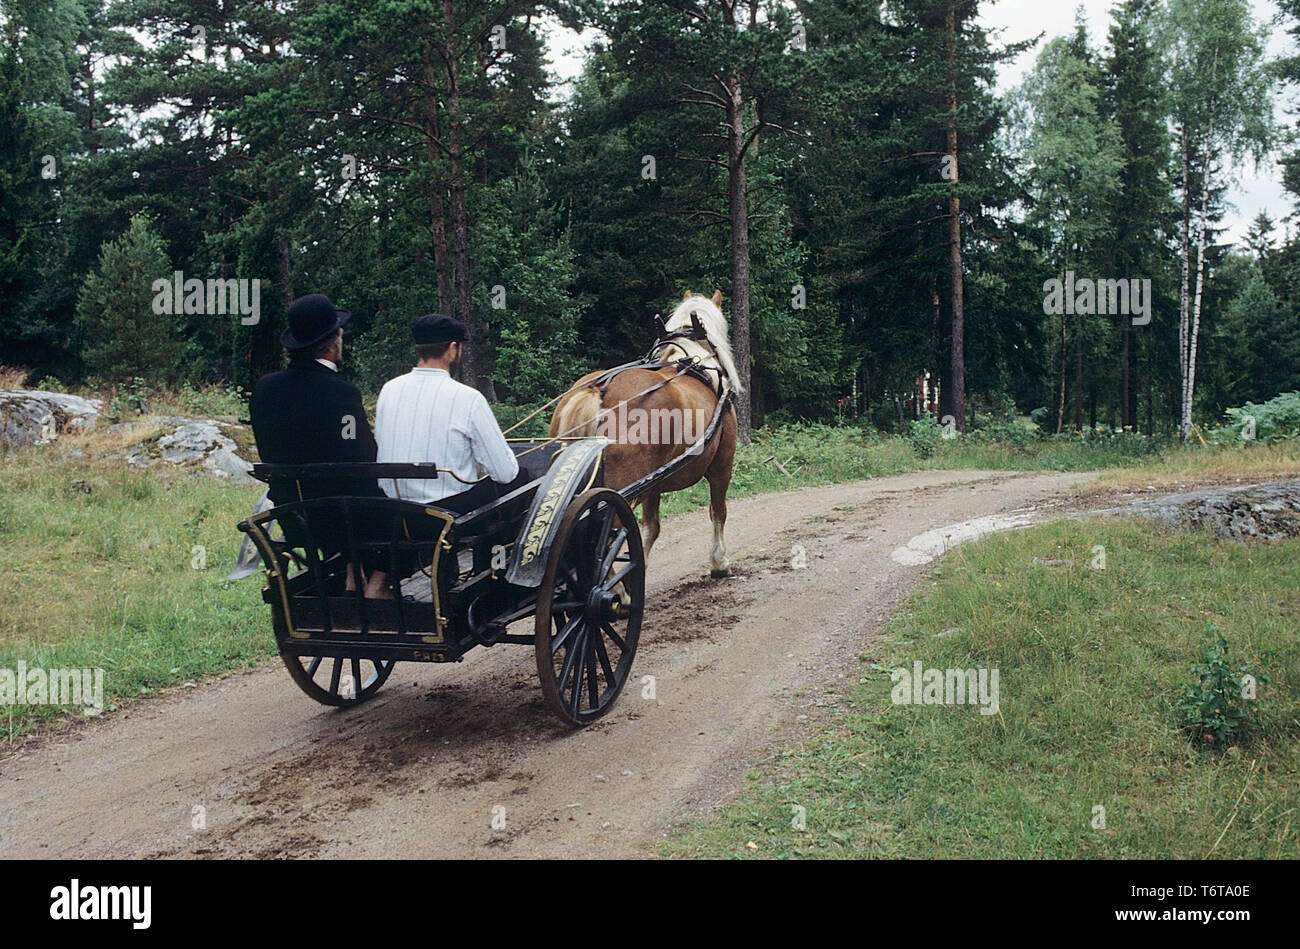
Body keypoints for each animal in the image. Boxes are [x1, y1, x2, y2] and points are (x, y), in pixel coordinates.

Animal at [549, 290, 740, 577]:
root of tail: (598, 389)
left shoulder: (653, 484)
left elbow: (651, 527)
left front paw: (642, 566)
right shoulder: (722, 464)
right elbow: (718, 512)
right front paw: (719, 562)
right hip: (619, 492)